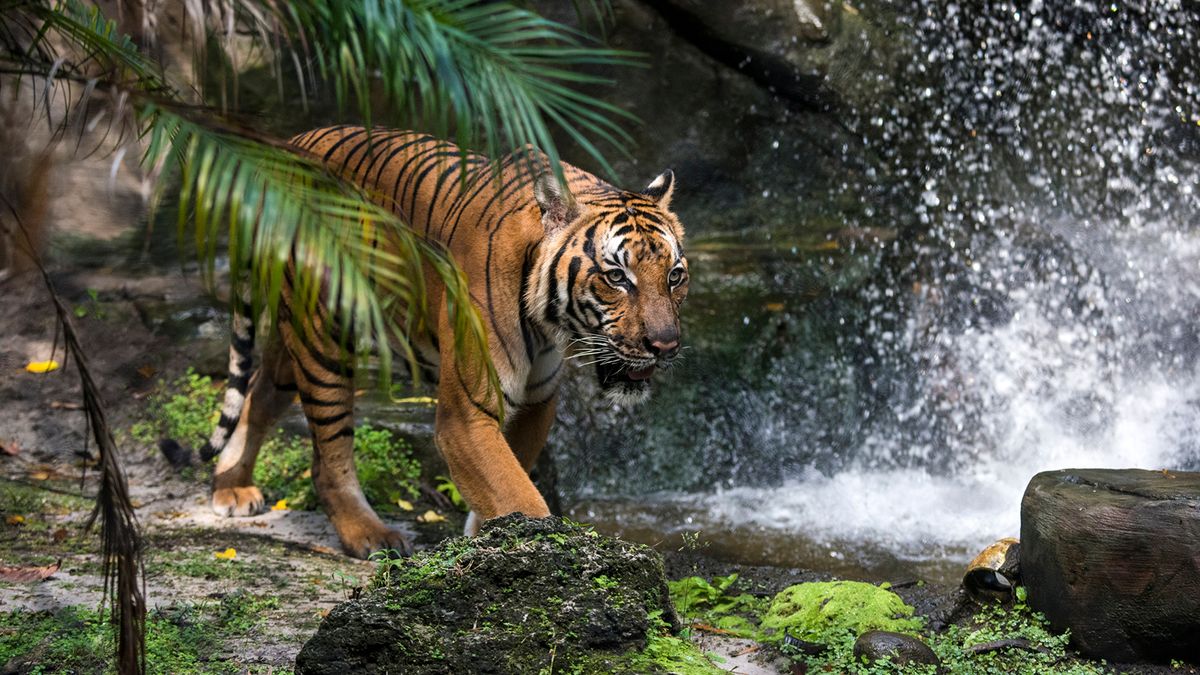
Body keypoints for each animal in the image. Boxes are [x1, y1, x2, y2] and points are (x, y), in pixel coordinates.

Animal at [200, 126, 689, 558]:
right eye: (617, 277)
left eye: (674, 276)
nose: (665, 346)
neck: (549, 323)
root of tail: (288, 143)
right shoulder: (465, 414)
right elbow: (519, 497)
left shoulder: (536, 401)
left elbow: (505, 488)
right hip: (323, 335)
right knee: (327, 454)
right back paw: (368, 534)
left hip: (293, 334)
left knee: (259, 391)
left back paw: (232, 487)